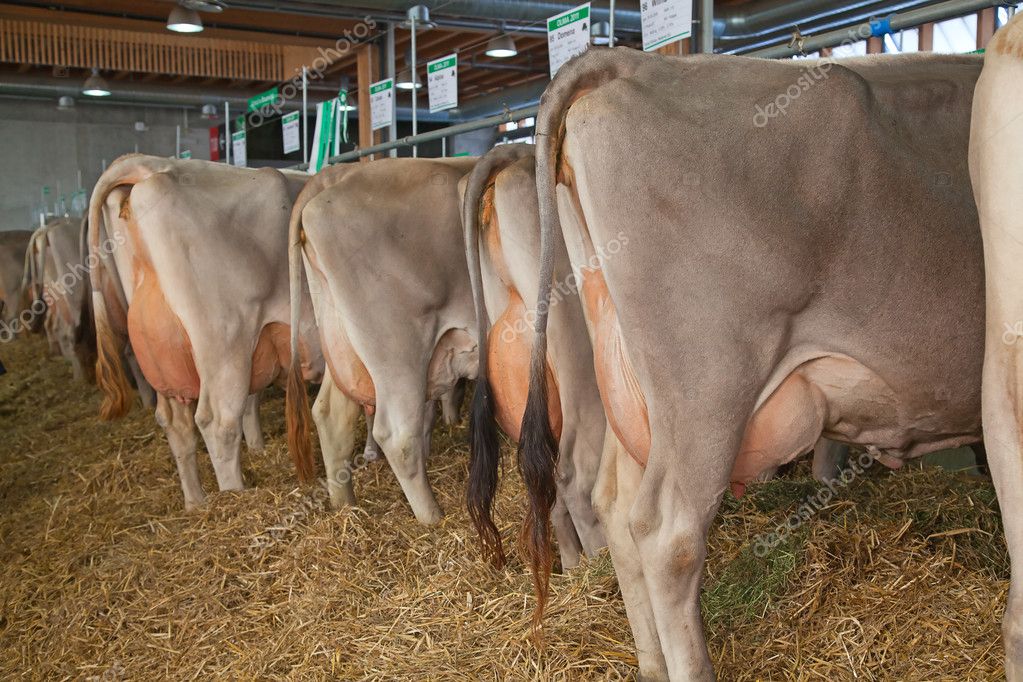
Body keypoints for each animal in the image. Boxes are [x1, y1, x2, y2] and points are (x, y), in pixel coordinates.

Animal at [88, 154, 331, 510]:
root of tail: (153, 165)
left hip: (167, 351)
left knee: (176, 423)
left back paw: (195, 503)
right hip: (227, 341)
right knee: (218, 422)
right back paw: (234, 497)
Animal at [286, 157, 478, 525]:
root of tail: (336, 175)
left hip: (341, 344)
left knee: (331, 415)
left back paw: (345, 505)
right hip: (397, 349)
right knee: (398, 436)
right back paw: (434, 518)